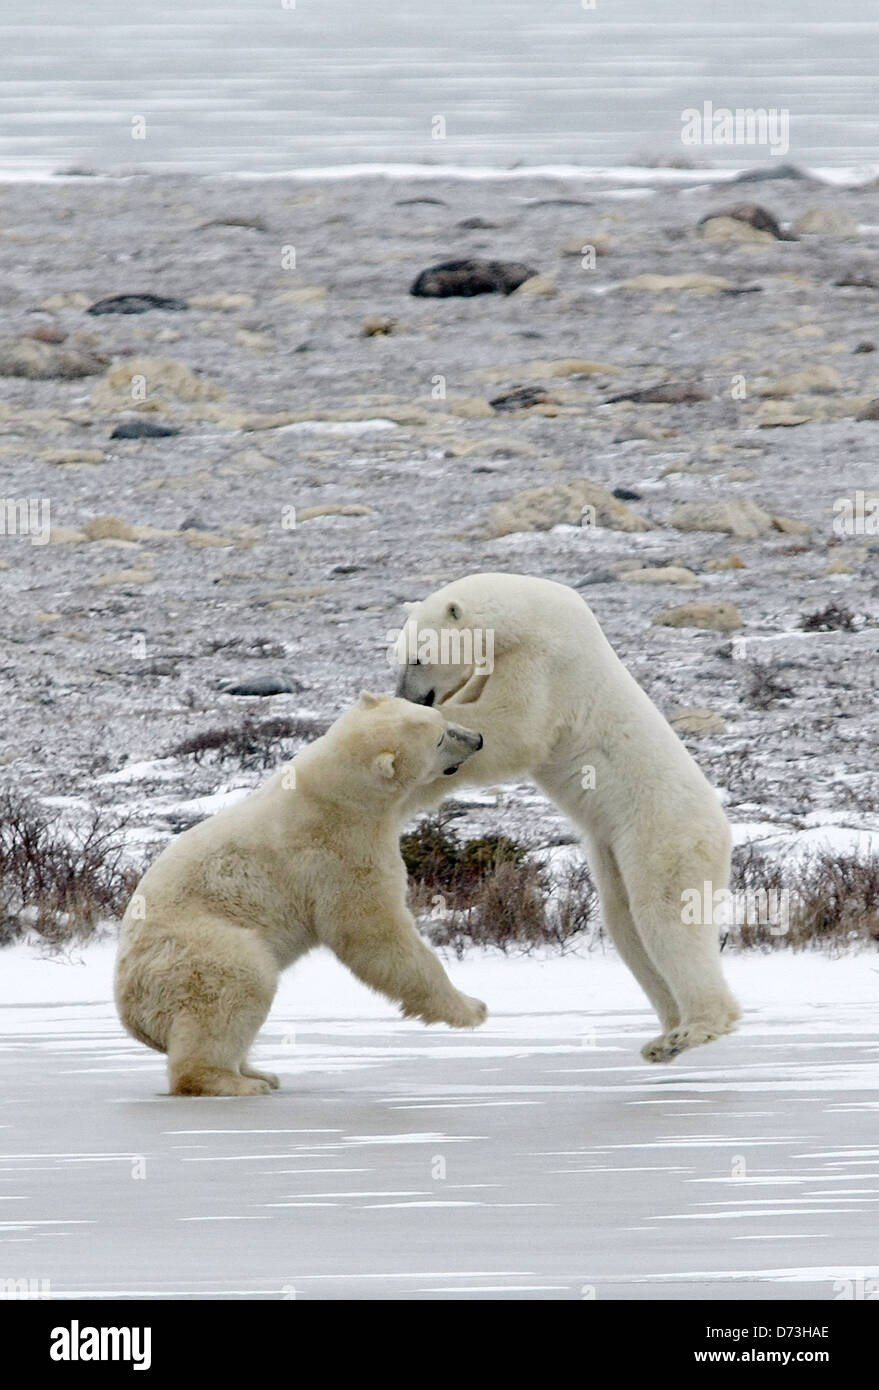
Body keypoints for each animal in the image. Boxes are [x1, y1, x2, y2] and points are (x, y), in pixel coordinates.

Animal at [115, 693, 487, 1096]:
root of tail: (133, 1015)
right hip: (195, 951)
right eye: (440, 739)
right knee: (236, 986)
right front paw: (471, 1008)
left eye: (440, 718)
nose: (478, 739)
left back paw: (257, 1072)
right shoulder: (338, 853)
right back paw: (235, 1081)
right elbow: (373, 933)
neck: (334, 793)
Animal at [393, 572, 741, 1063]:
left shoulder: (547, 663)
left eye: (418, 657)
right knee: (625, 923)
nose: (407, 696)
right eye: (400, 657)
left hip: (663, 833)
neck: (527, 614)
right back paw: (664, 1035)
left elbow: (513, 728)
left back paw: (693, 1030)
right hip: (611, 845)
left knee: (667, 915)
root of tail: (721, 828)